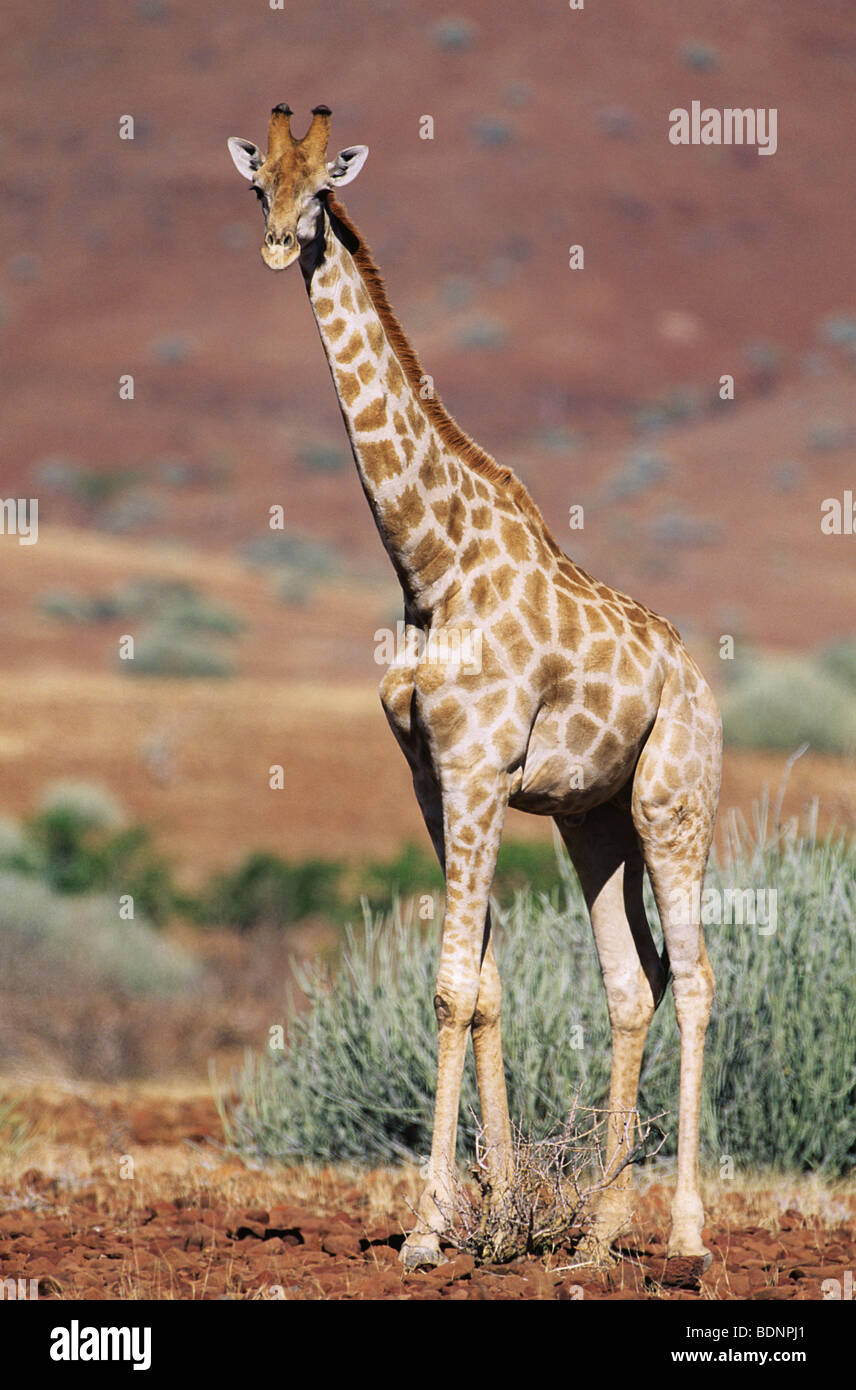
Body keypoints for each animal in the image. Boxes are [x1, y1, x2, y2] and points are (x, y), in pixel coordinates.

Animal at [227, 105, 722, 1271]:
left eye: (323, 191)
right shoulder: (433, 778)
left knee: (697, 983)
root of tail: (696, 674)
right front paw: (491, 1217)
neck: (428, 561)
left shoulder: (481, 767)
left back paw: (684, 1232)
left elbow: (453, 987)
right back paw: (597, 1233)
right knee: (633, 984)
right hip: (595, 820)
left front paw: (423, 1229)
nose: (275, 245)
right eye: (259, 182)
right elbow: (488, 988)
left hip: (673, 802)